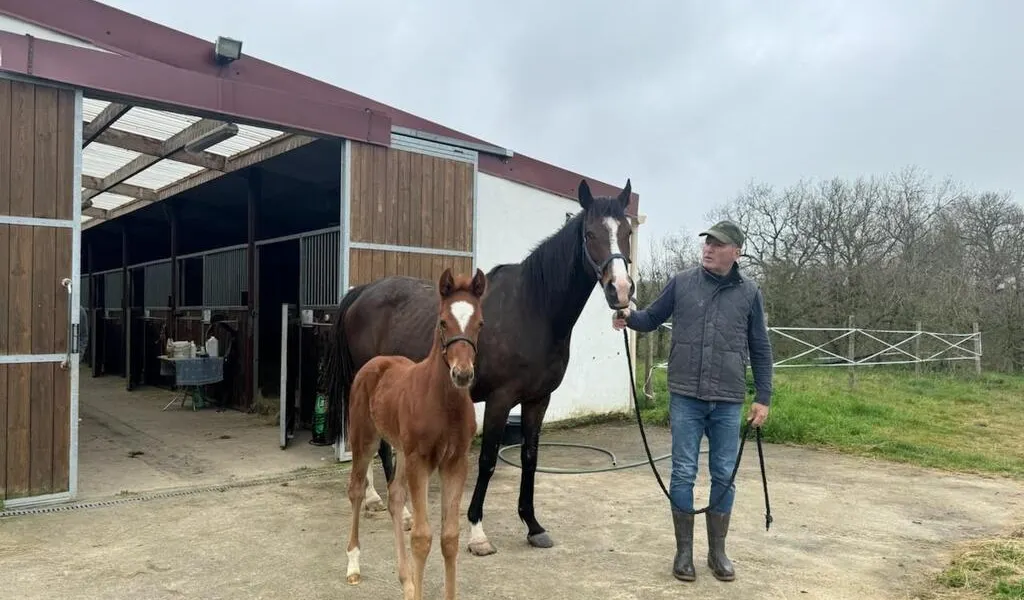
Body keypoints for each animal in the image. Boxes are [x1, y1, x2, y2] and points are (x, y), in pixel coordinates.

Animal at [328, 178, 635, 556]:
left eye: (627, 231)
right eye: (590, 234)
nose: (621, 291)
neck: (533, 308)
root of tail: (364, 292)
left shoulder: (538, 400)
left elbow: (530, 457)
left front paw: (533, 526)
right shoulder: (500, 400)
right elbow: (487, 460)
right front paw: (477, 532)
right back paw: (392, 507)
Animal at [344, 267, 487, 600]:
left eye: (480, 323)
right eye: (443, 322)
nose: (462, 374)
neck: (443, 403)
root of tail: (376, 362)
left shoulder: (455, 463)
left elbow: (449, 538)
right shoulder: (421, 461)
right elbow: (422, 537)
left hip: (401, 450)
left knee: (396, 497)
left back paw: (406, 580)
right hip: (365, 438)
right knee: (356, 489)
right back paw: (353, 565)